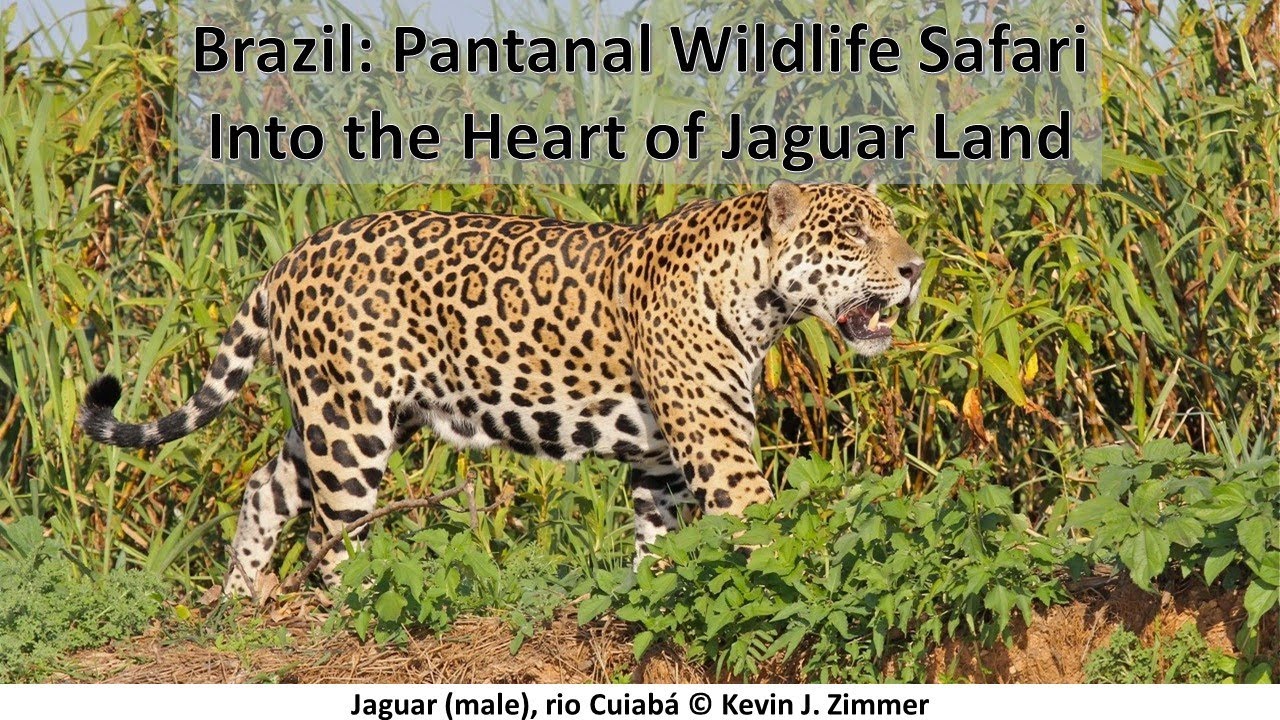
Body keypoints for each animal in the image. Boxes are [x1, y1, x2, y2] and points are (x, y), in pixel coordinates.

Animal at [79, 180, 925, 595]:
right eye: (854, 235)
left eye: (889, 225)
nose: (915, 268)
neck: (761, 297)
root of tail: (291, 256)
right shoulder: (719, 450)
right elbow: (773, 527)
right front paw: (819, 584)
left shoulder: (659, 461)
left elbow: (658, 544)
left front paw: (651, 599)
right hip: (351, 427)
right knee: (331, 535)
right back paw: (352, 606)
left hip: (330, 413)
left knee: (265, 490)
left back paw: (236, 603)